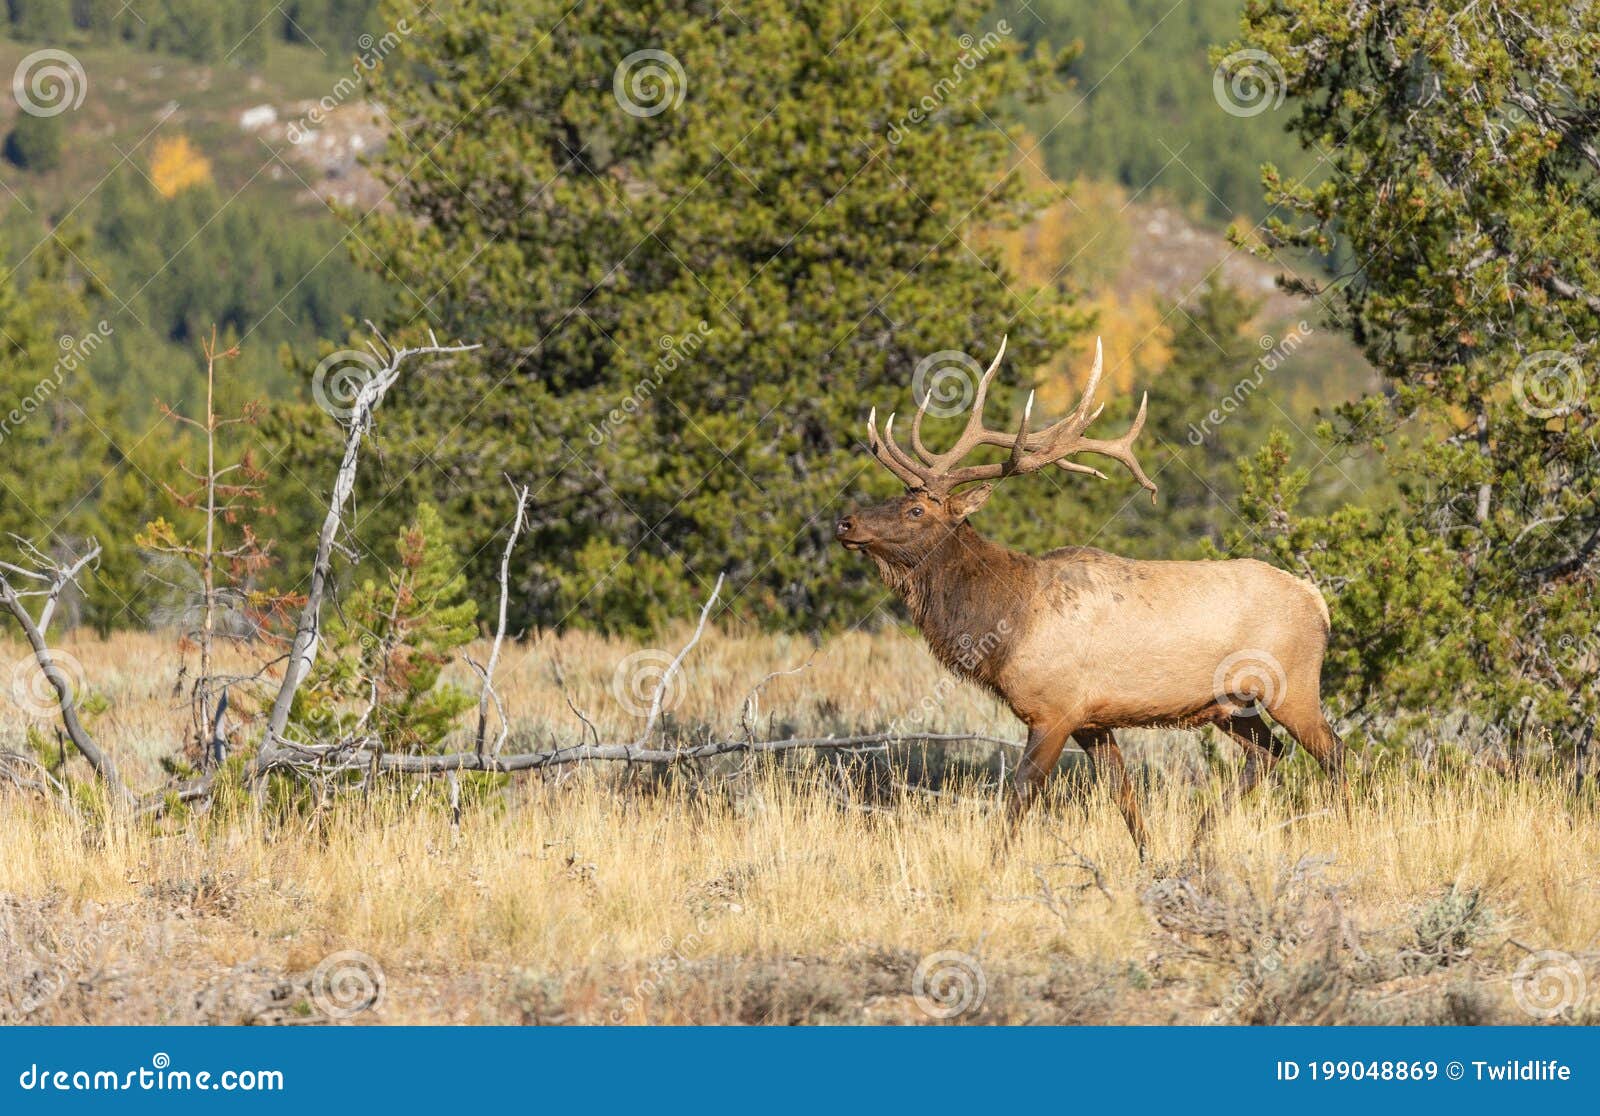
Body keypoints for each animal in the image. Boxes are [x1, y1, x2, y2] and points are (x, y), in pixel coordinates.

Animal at [834, 337, 1348, 857]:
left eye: (916, 510)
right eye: (897, 498)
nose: (846, 522)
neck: (1005, 625)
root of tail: (1319, 603)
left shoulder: (1054, 709)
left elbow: (1021, 793)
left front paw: (995, 861)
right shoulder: (1092, 719)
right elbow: (1122, 791)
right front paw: (1148, 855)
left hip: (1293, 686)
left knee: (1334, 753)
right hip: (1231, 703)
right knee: (1268, 752)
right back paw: (1199, 837)